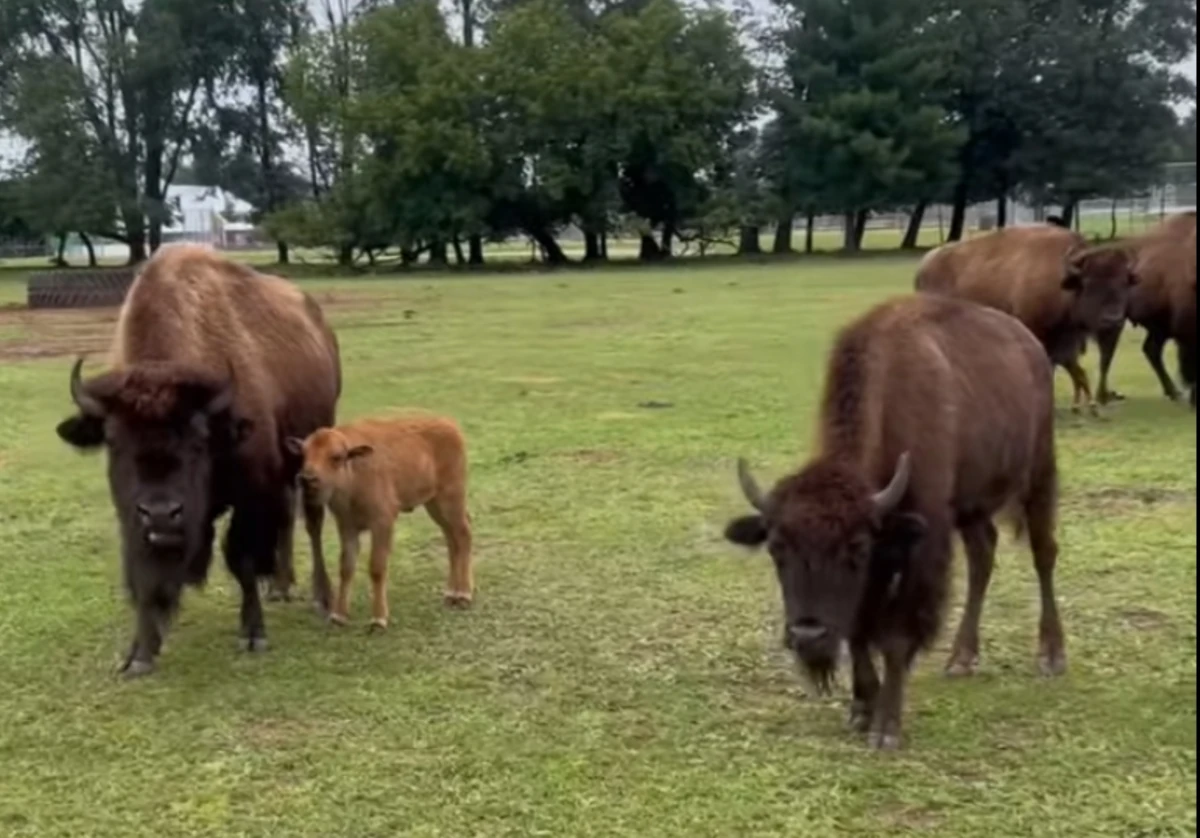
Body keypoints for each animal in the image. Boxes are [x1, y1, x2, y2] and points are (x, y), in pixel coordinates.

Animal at [55, 245, 342, 676]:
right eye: (114, 441)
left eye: (197, 440)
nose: (161, 513)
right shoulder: (133, 519)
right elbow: (143, 574)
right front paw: (140, 654)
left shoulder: (251, 494)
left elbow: (241, 557)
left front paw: (253, 635)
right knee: (287, 521)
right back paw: (279, 586)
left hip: (311, 457)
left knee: (310, 523)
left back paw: (321, 599)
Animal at [724, 294, 1065, 750]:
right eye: (777, 550)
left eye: (856, 549)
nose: (808, 636)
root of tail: (1030, 345)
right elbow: (858, 628)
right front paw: (861, 708)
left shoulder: (919, 544)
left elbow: (894, 635)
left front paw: (886, 727)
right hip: (971, 505)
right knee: (983, 556)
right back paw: (961, 658)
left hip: (1039, 471)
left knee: (1043, 553)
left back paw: (1051, 655)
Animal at [915, 223, 1138, 414]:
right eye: (1089, 283)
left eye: (1124, 282)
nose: (1113, 320)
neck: (1060, 281)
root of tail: (925, 265)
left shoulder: (1062, 346)